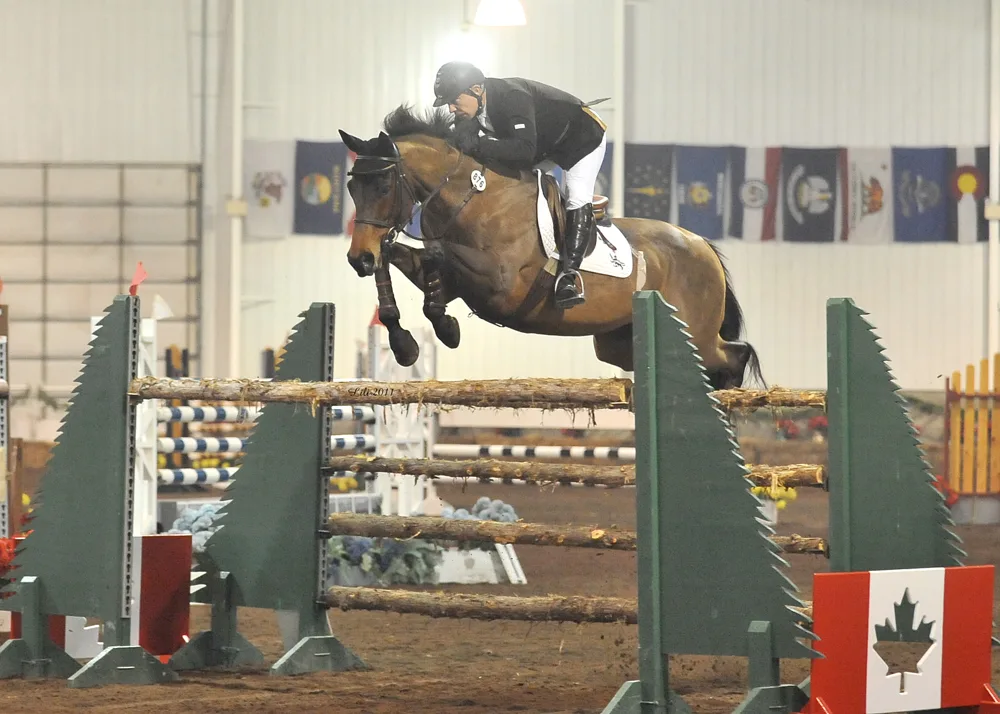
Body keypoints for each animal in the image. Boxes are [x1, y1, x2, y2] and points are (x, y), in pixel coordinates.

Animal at [338, 104, 763, 390]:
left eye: (382, 185)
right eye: (351, 186)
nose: (357, 259)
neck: (472, 195)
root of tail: (702, 245)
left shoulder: (501, 284)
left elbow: (437, 258)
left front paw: (442, 325)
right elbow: (404, 260)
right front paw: (406, 342)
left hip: (695, 335)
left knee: (733, 355)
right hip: (618, 342)